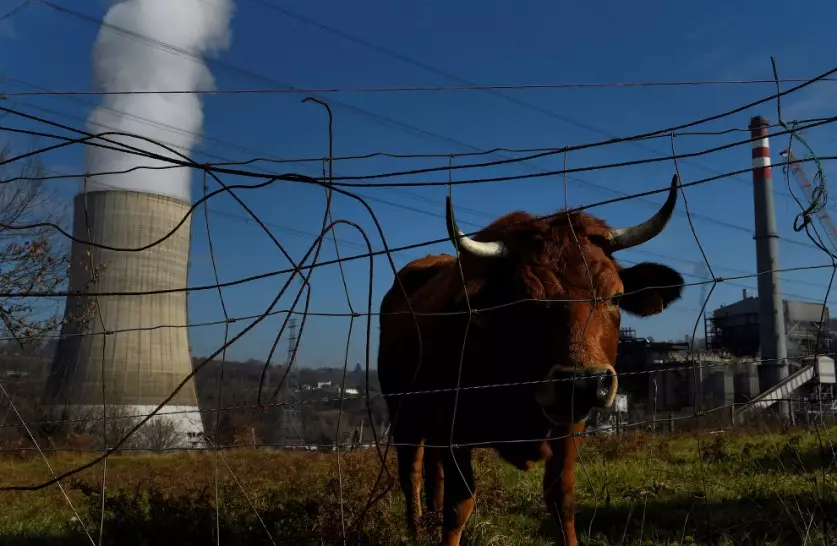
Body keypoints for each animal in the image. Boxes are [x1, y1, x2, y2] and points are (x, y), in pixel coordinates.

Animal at [376, 175, 684, 544]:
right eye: (525, 300)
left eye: (615, 296)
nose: (584, 382)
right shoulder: (453, 429)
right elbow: (459, 507)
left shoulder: (569, 428)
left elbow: (561, 498)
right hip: (402, 412)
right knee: (411, 471)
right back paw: (415, 528)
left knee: (431, 470)